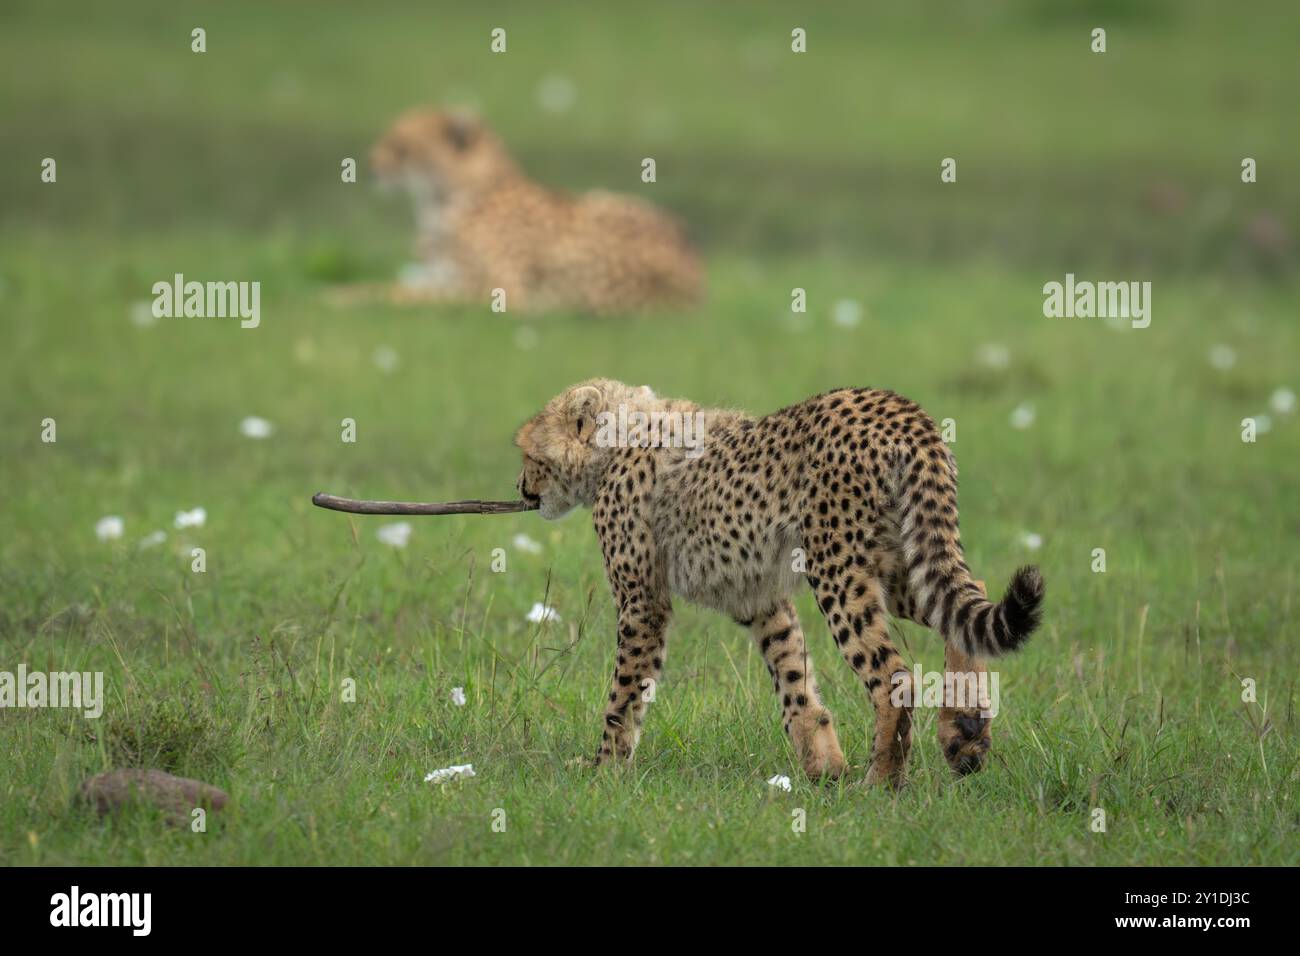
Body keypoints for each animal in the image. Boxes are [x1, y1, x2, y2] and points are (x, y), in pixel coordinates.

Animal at [356, 108, 703, 314]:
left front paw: (349, 298)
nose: (372, 166)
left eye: (401, 147)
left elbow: (398, 294)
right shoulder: (439, 276)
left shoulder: (499, 290)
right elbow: (390, 286)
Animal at [514, 379, 1045, 786]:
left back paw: (881, 782)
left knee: (894, 674)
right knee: (965, 599)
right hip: (895, 562)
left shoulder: (643, 603)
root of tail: (895, 407)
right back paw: (965, 733)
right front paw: (824, 767)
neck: (620, 435)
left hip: (836, 567)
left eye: (528, 454)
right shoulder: (760, 600)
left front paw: (605, 769)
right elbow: (794, 678)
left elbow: (623, 697)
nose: (522, 489)